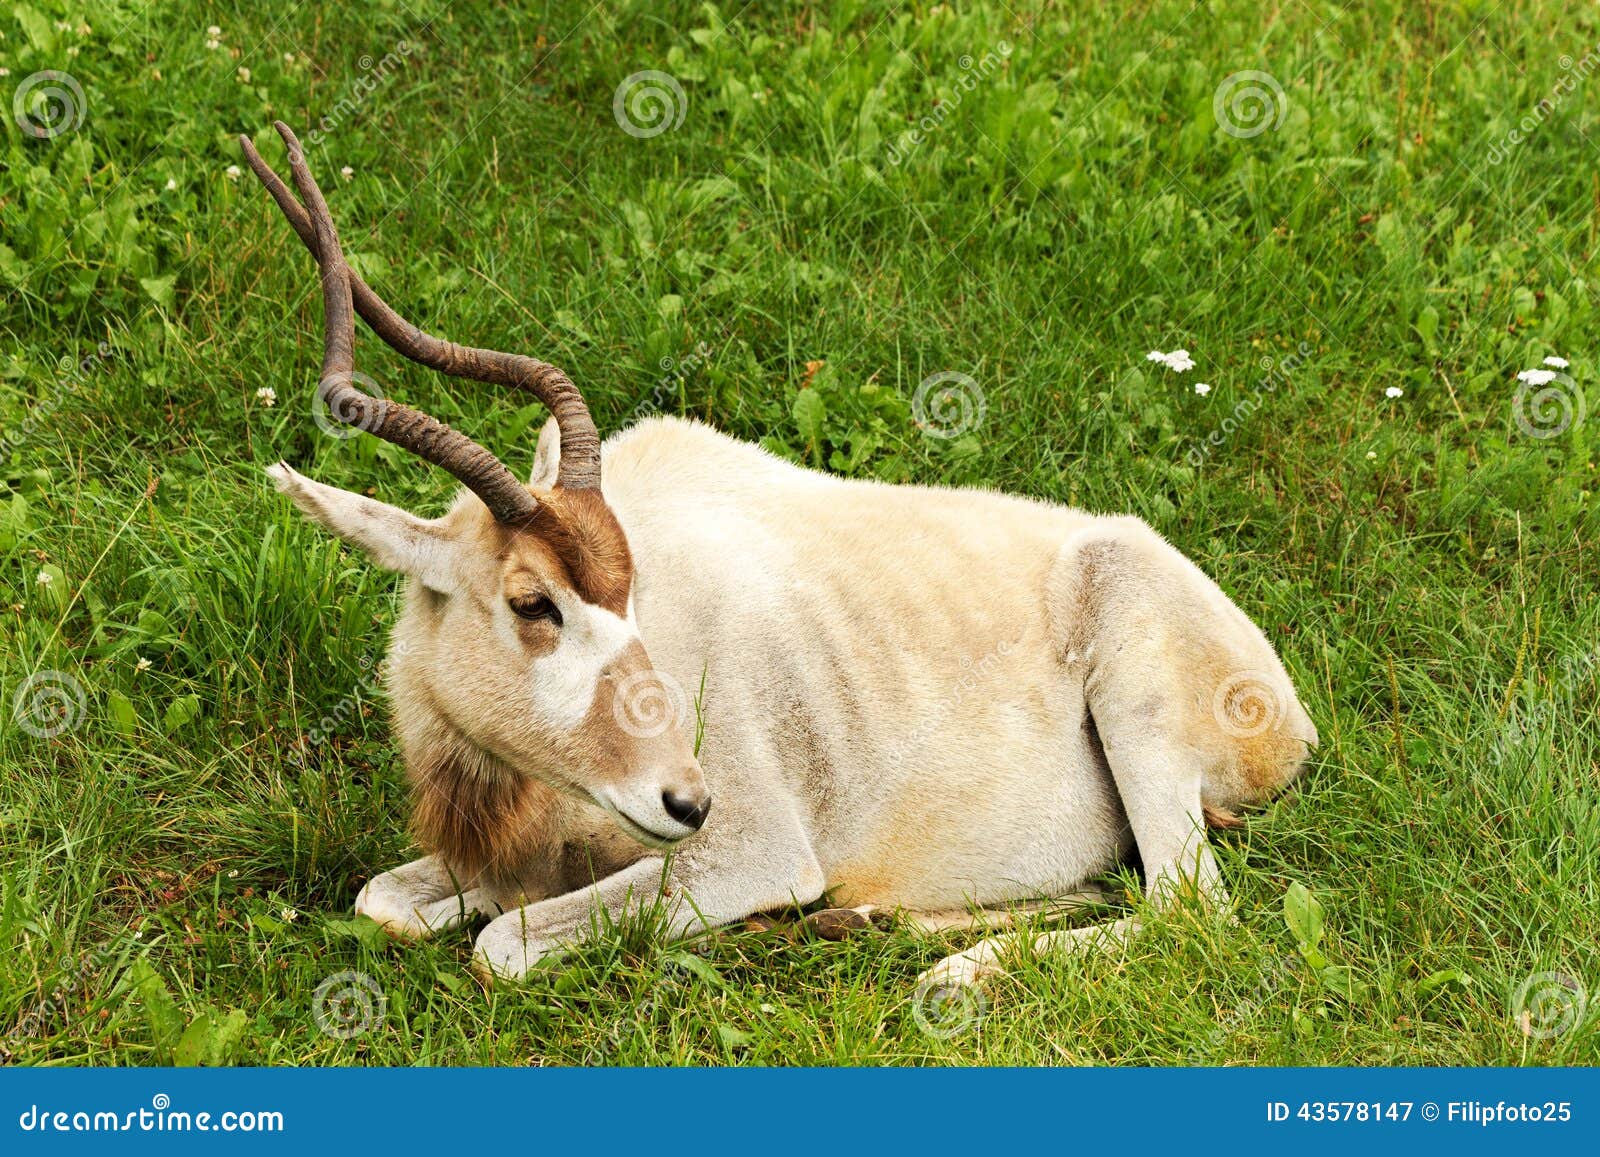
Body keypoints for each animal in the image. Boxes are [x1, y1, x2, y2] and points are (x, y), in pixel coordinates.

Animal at [242, 123, 1317, 987]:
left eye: (625, 596)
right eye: (532, 601)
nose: (686, 797)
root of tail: (1288, 711)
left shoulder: (749, 851)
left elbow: (501, 944)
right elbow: (383, 900)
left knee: (1187, 909)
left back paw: (953, 970)